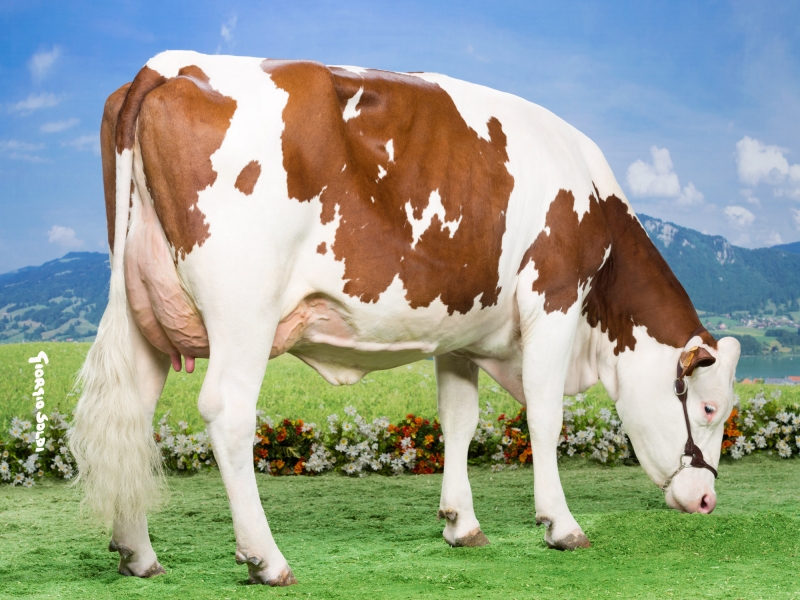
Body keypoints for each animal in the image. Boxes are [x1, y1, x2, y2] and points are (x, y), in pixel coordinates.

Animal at [69, 51, 740, 585]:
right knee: (227, 411)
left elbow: (459, 421)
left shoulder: (461, 330)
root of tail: (167, 66)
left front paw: (462, 524)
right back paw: (267, 559)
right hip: (244, 309)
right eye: (709, 408)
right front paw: (561, 524)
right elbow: (546, 417)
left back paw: (138, 554)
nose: (707, 500)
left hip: (143, 302)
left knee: (131, 415)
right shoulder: (553, 298)